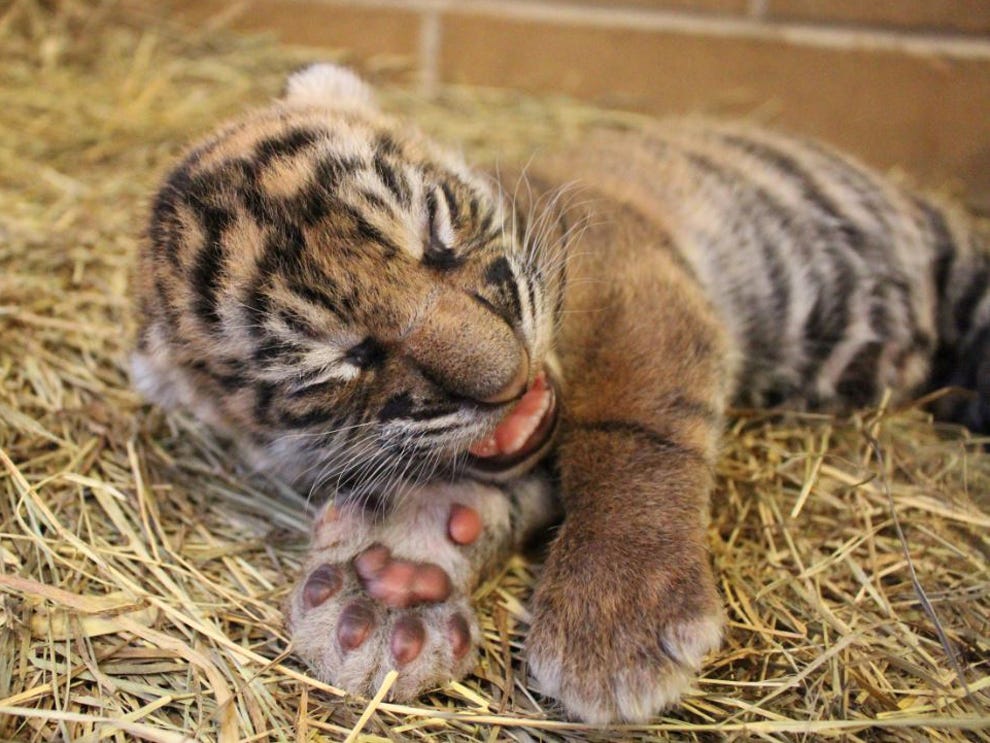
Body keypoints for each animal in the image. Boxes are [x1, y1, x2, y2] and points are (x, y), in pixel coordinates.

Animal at [131, 64, 990, 724]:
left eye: (439, 235)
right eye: (346, 363)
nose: (506, 377)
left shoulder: (627, 279)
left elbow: (630, 431)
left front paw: (617, 619)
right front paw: (381, 591)